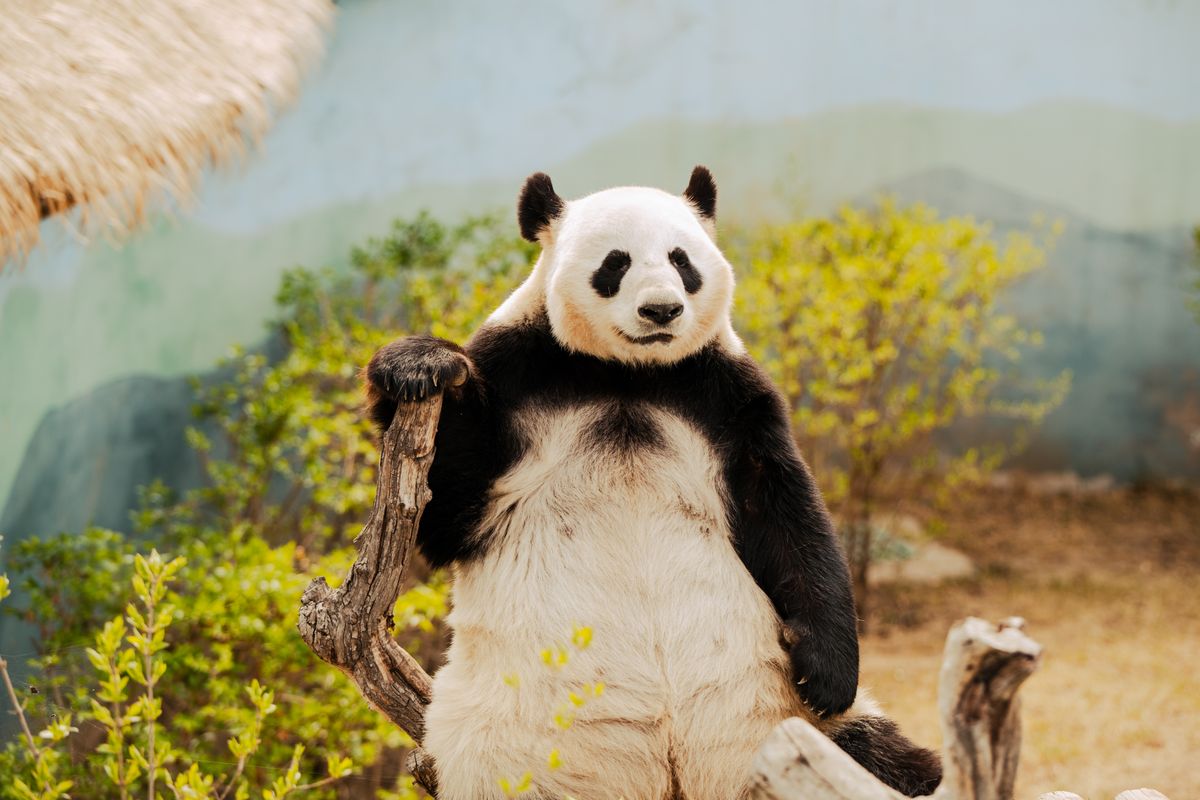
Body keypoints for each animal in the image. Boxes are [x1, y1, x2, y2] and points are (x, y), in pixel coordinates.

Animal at [364, 167, 942, 800]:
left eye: (681, 259)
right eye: (615, 263)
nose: (662, 310)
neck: (628, 375)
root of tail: (670, 775)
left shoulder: (724, 396)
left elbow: (785, 514)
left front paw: (828, 674)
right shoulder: (521, 374)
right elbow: (446, 507)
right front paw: (418, 364)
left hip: (782, 719)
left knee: (886, 756)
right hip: (496, 744)